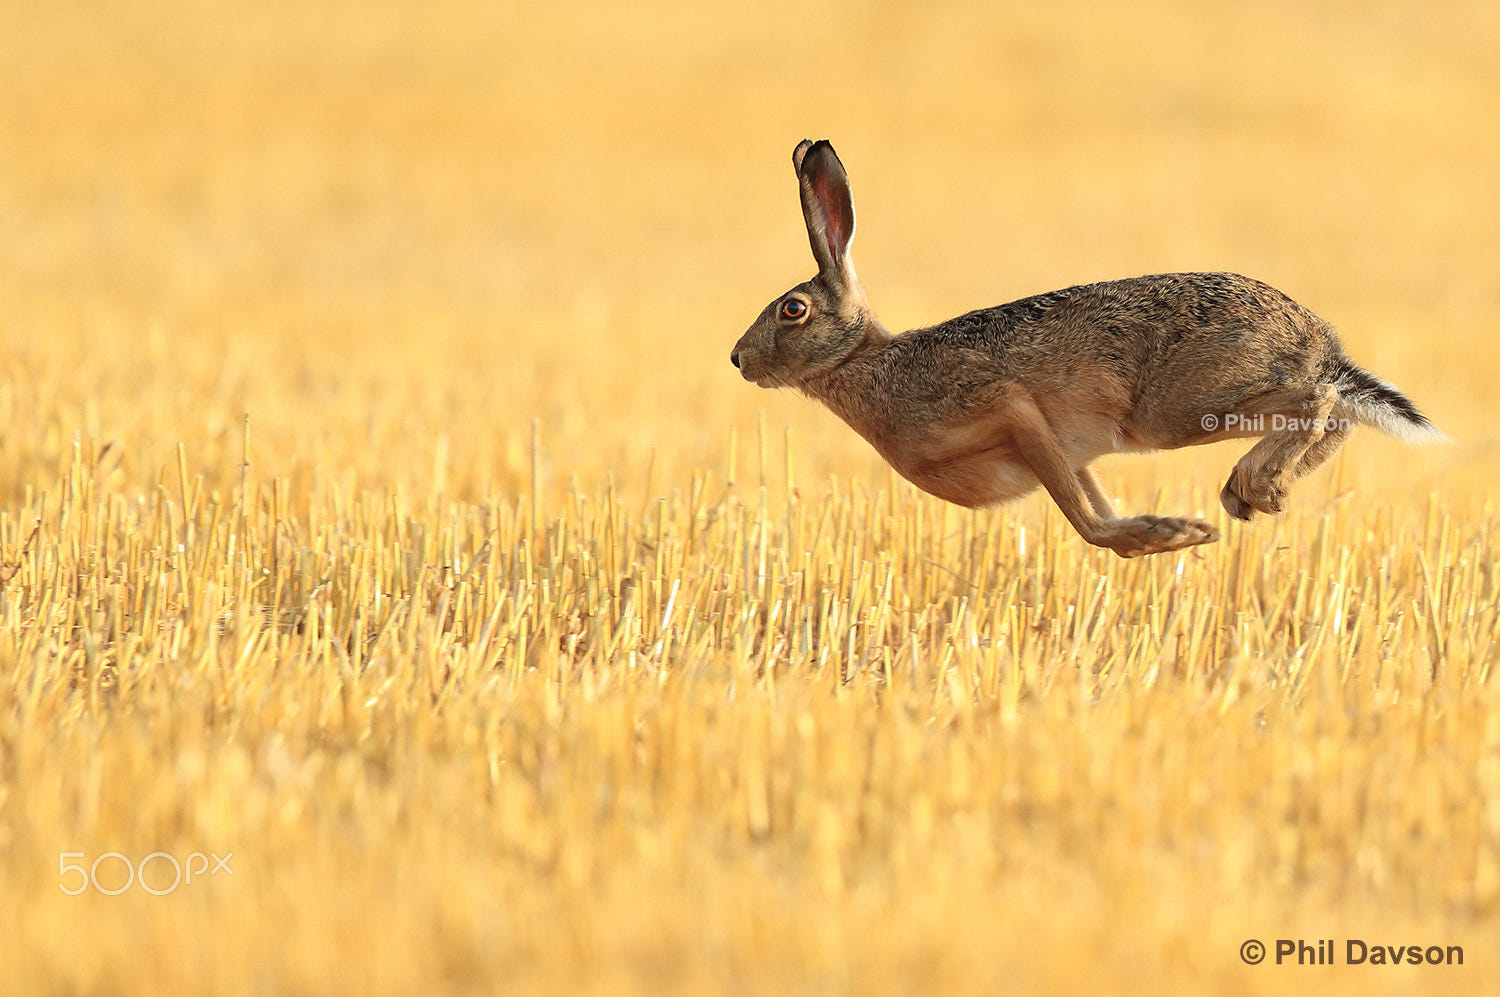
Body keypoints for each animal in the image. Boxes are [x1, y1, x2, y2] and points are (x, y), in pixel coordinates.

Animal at [731, 139, 1444, 558]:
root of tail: (1315, 338)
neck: (864, 360)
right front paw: (1164, 536)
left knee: (1317, 399)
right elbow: (1092, 502)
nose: (738, 360)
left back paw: (1256, 483)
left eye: (793, 310)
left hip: (1178, 408)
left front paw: (1167, 534)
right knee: (1335, 416)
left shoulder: (1006, 409)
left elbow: (1085, 521)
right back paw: (1253, 494)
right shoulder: (1067, 451)